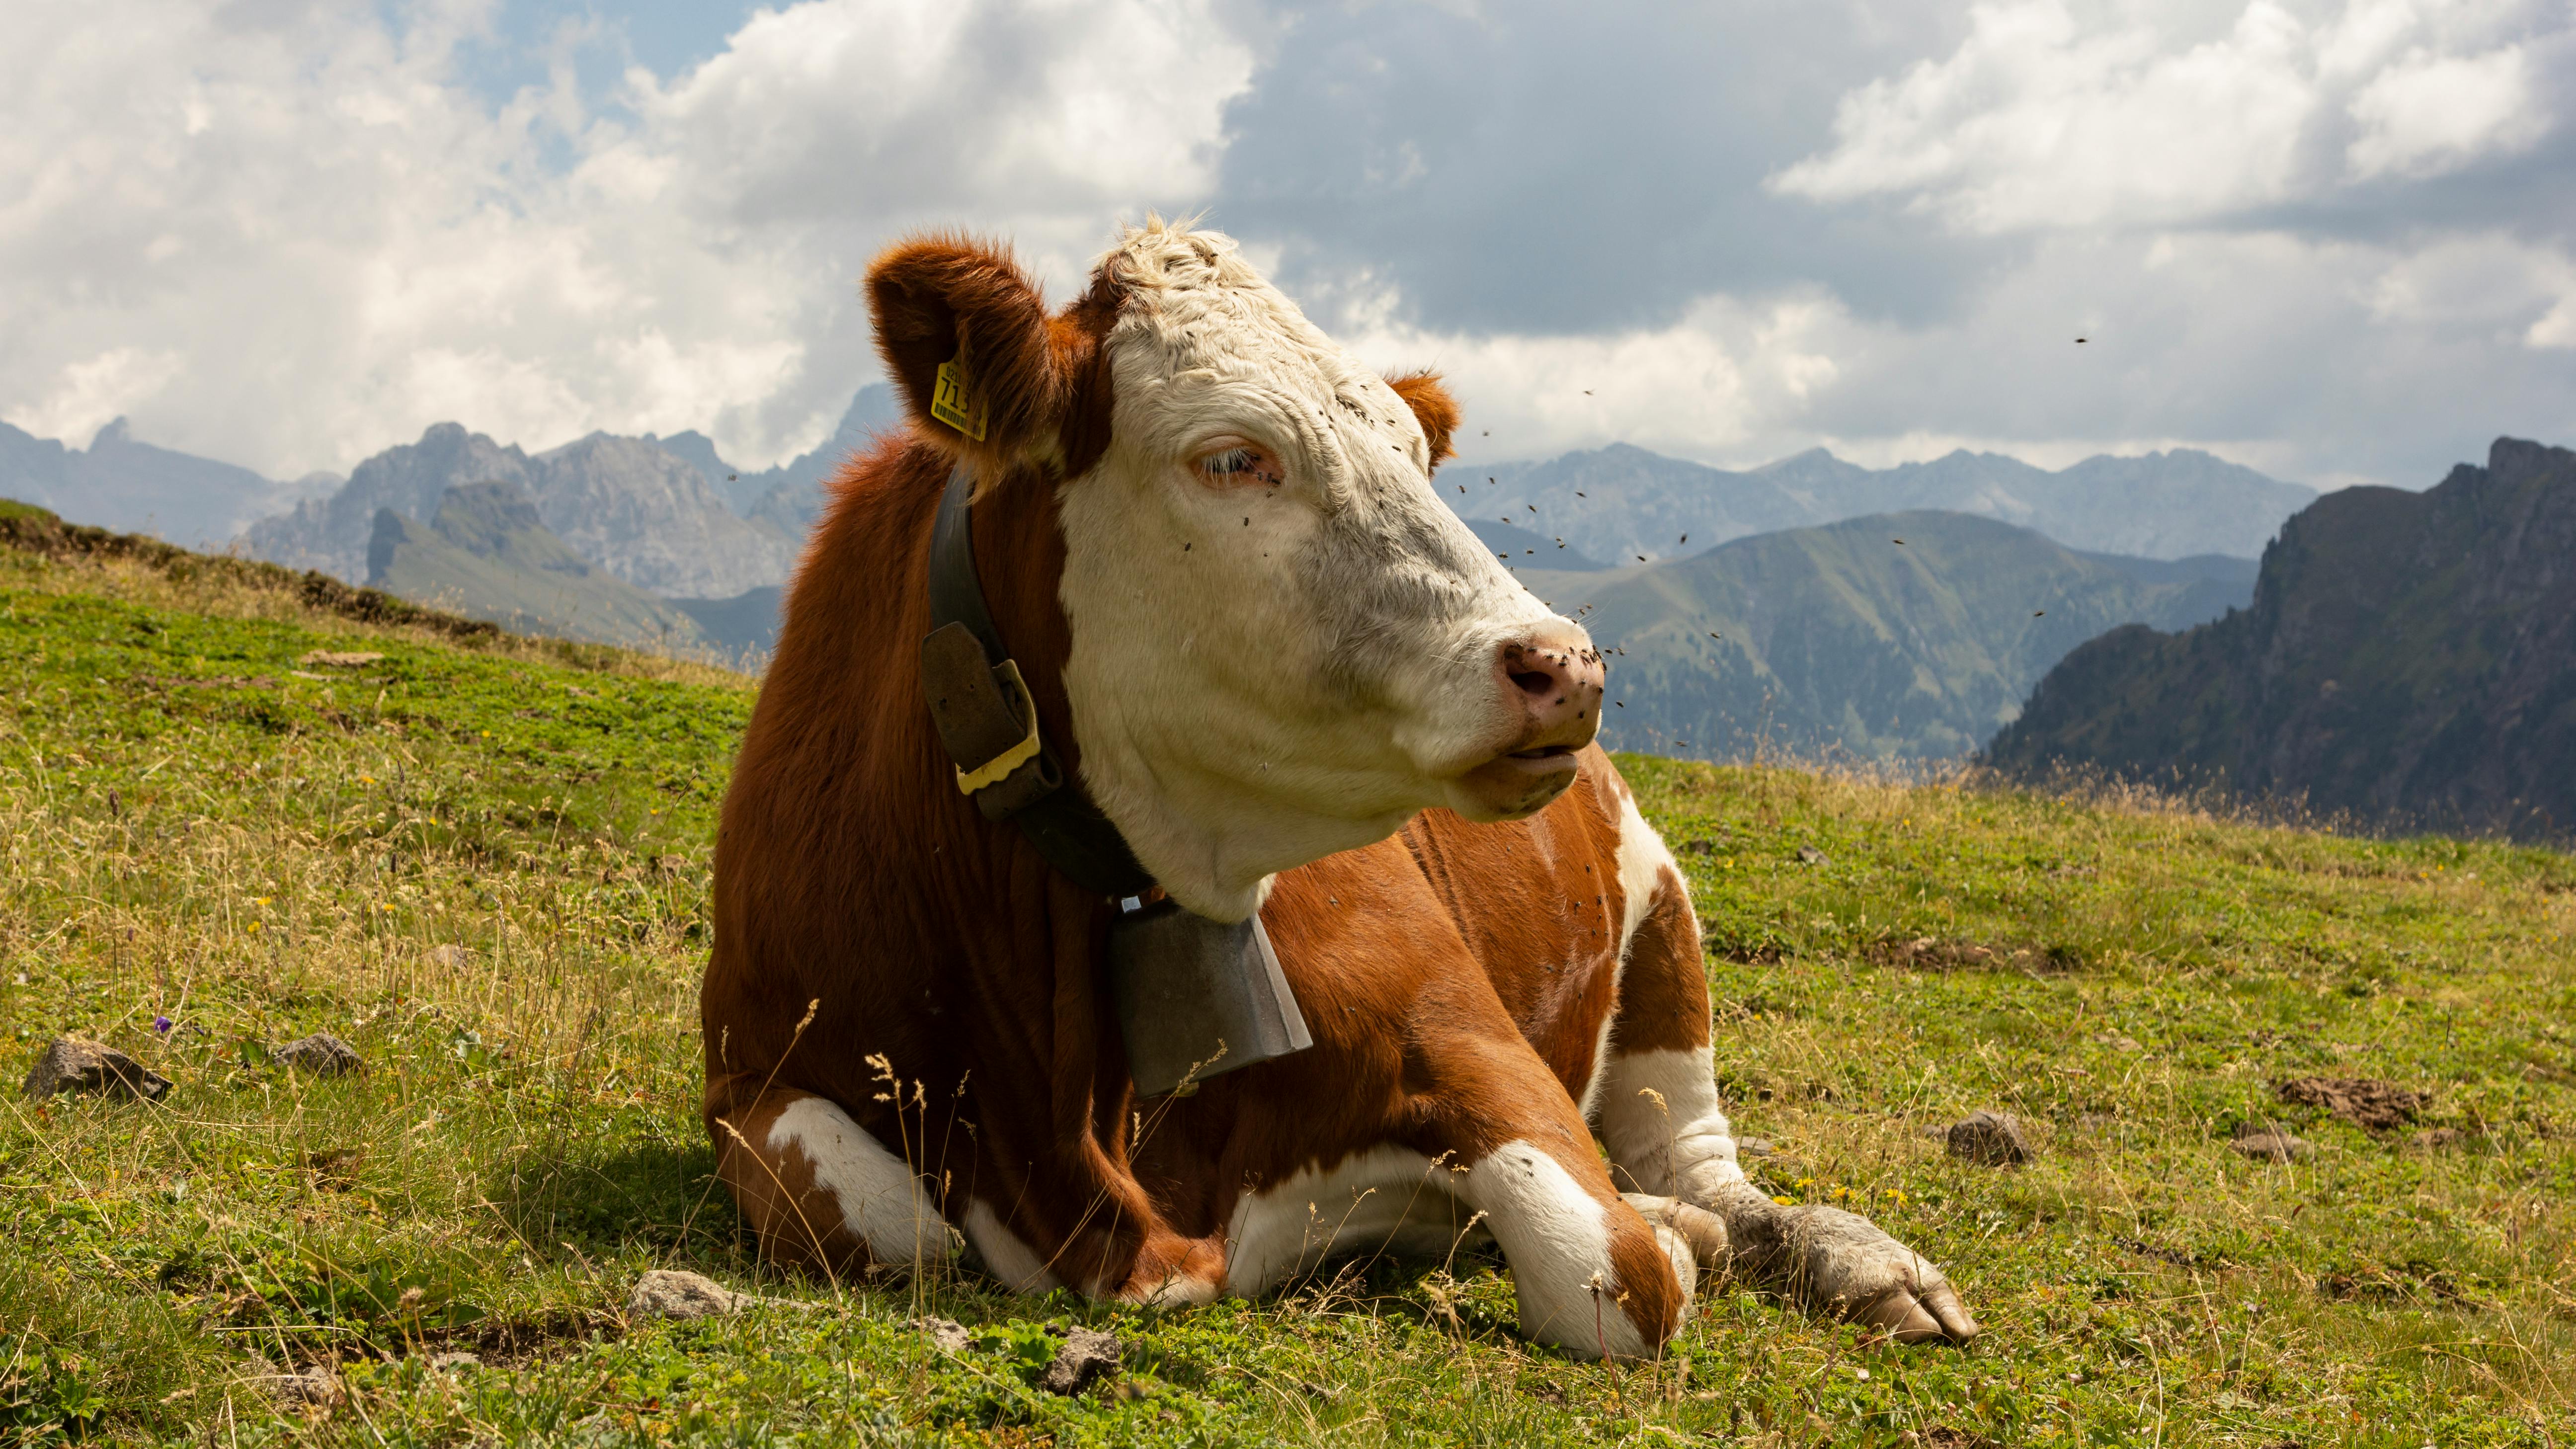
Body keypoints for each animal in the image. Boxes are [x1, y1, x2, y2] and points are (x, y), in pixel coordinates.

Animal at [700, 217, 1977, 1360]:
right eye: (1232, 456)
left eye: (1414, 455)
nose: (1561, 665)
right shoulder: (750, 1064)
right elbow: (878, 1222)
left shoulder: (1460, 1029)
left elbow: (1610, 1267)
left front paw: (1670, 1243)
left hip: (1664, 923)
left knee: (1703, 1167)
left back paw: (1851, 1260)